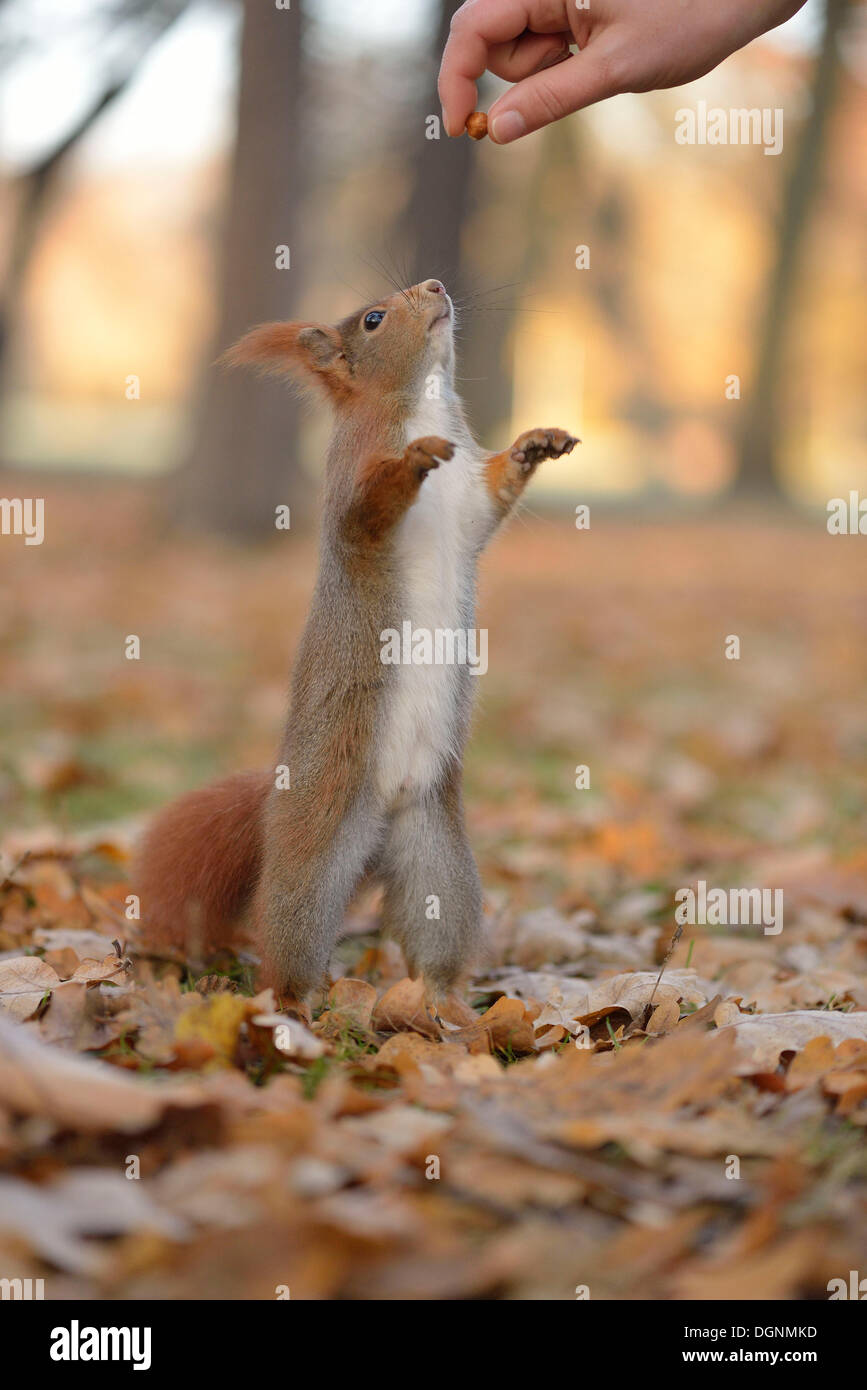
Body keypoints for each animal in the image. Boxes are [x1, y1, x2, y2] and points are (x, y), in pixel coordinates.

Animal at [135, 278, 577, 1008]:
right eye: (373, 318)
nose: (435, 286)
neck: (421, 399)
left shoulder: (471, 502)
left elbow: (494, 495)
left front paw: (535, 443)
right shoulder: (352, 488)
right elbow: (369, 507)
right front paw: (412, 461)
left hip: (435, 855)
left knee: (436, 932)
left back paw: (443, 1005)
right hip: (317, 849)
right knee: (287, 934)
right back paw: (298, 1003)